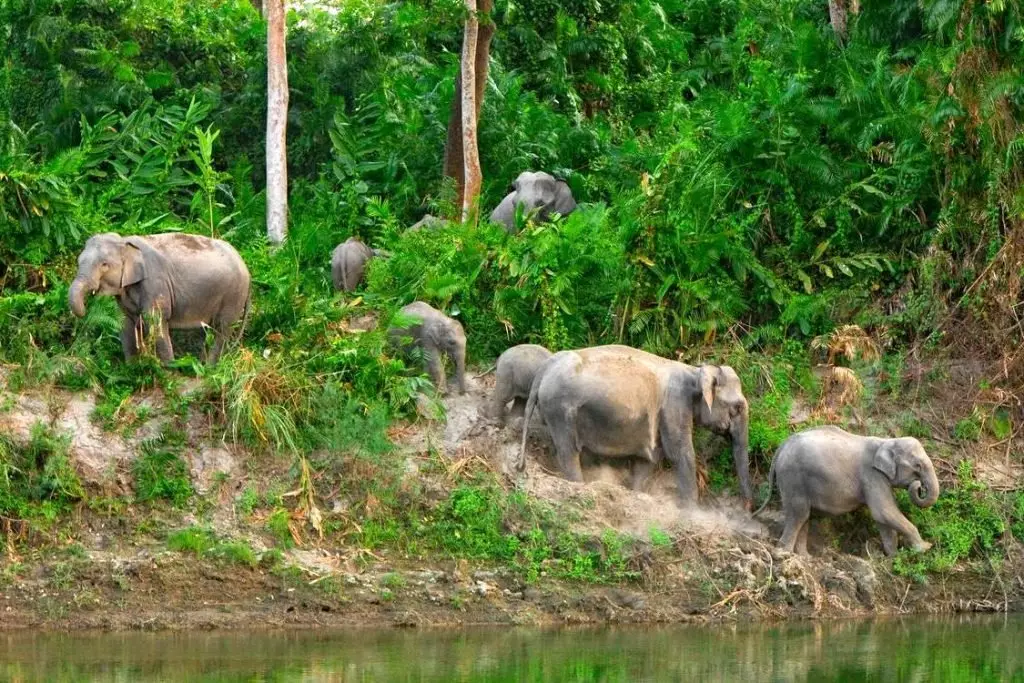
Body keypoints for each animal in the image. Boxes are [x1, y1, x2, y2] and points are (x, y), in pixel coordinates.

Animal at [69, 232, 250, 366]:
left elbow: (155, 321)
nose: (85, 310)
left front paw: (169, 371)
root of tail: (246, 268)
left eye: (104, 265)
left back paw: (209, 367)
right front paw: (132, 369)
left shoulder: (155, 283)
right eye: (78, 261)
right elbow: (126, 323)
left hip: (233, 295)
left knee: (222, 329)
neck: (125, 241)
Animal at [520, 344, 753, 509]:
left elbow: (648, 459)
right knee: (568, 451)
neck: (695, 371)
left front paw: (639, 493)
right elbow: (681, 453)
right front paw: (693, 511)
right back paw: (579, 485)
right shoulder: (674, 406)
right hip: (560, 409)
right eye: (738, 407)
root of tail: (545, 368)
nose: (747, 508)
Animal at [757, 423, 937, 557]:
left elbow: (883, 519)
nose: (918, 486)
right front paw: (924, 547)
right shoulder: (872, 475)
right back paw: (784, 554)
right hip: (793, 476)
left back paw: (804, 557)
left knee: (804, 515)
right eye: (917, 466)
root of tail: (782, 445)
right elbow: (884, 511)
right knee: (799, 513)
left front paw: (893, 558)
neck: (886, 441)